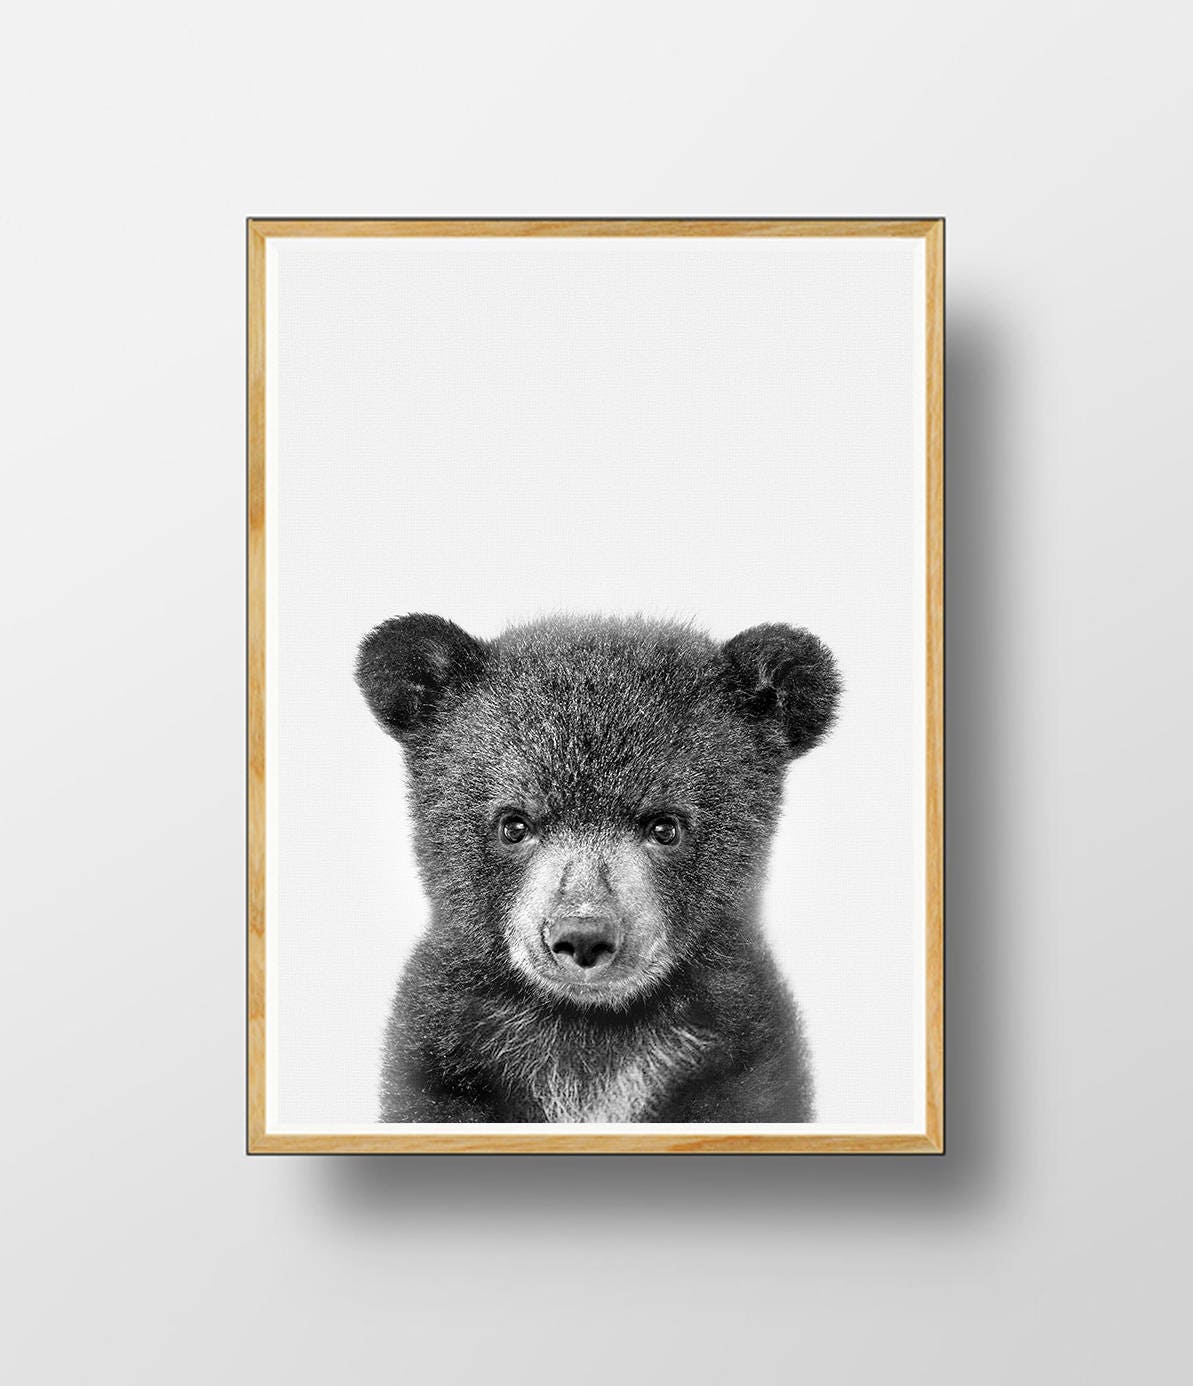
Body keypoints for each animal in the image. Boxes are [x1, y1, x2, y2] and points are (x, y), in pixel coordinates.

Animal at [355, 613, 840, 1123]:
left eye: (665, 826)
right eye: (514, 825)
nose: (583, 936)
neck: (591, 1027)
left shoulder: (742, 1061)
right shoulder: (443, 1063)